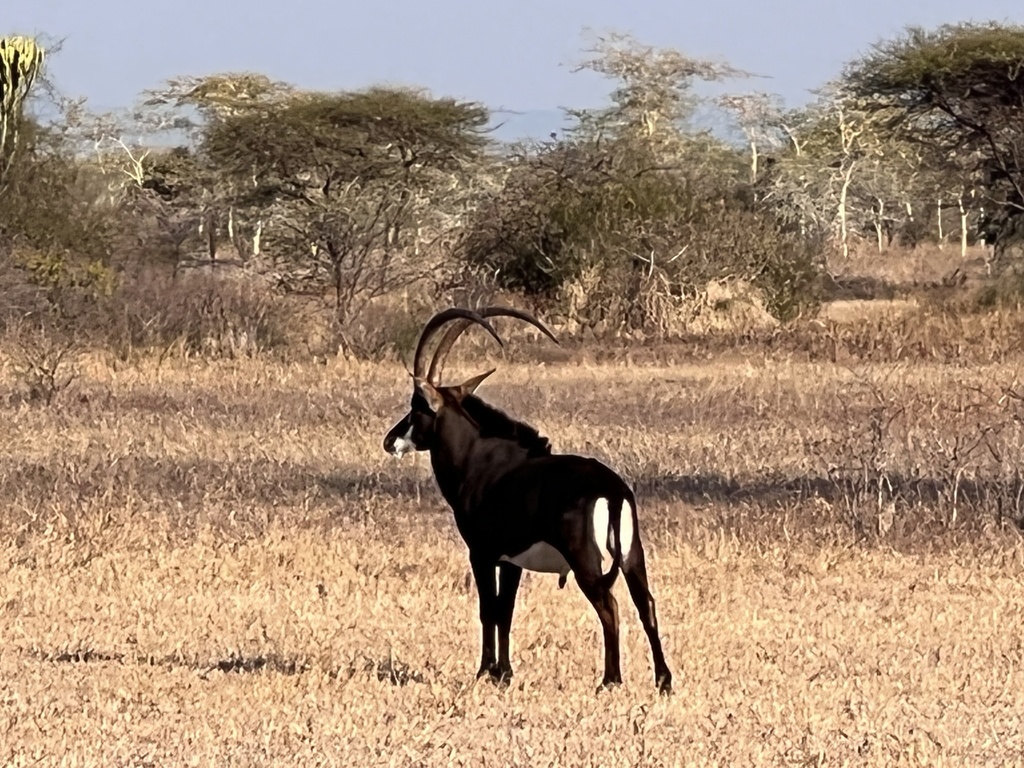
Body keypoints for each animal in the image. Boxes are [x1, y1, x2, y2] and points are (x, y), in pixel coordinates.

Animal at [383, 307, 672, 693]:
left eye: (416, 408)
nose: (390, 441)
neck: (479, 459)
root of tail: (612, 490)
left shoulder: (482, 553)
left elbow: (488, 609)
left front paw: (485, 671)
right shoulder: (512, 560)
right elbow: (506, 610)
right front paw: (504, 673)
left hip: (587, 561)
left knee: (609, 608)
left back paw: (610, 680)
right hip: (632, 556)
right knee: (647, 605)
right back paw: (663, 681)